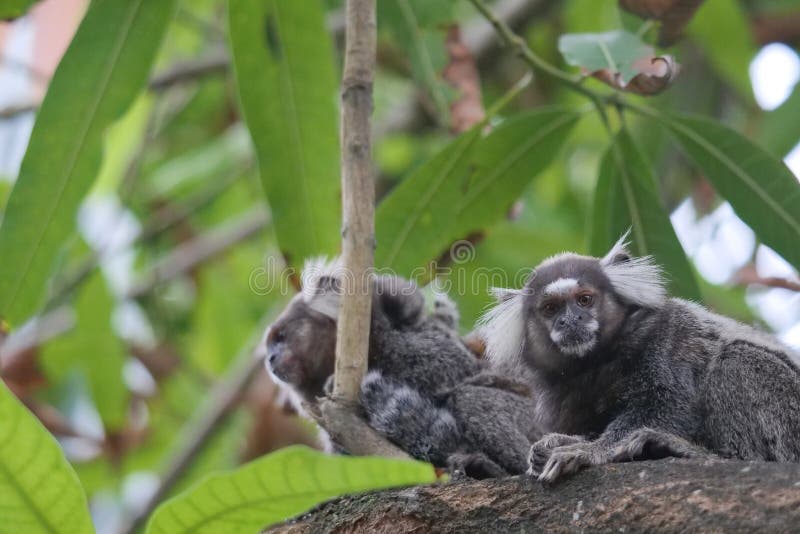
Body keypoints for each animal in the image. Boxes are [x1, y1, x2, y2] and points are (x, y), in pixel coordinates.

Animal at [479, 232, 800, 483]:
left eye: (585, 299)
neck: (596, 363)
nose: (570, 321)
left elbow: (666, 405)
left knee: (736, 360)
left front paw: (587, 451)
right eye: (550, 308)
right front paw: (560, 442)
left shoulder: (667, 339)